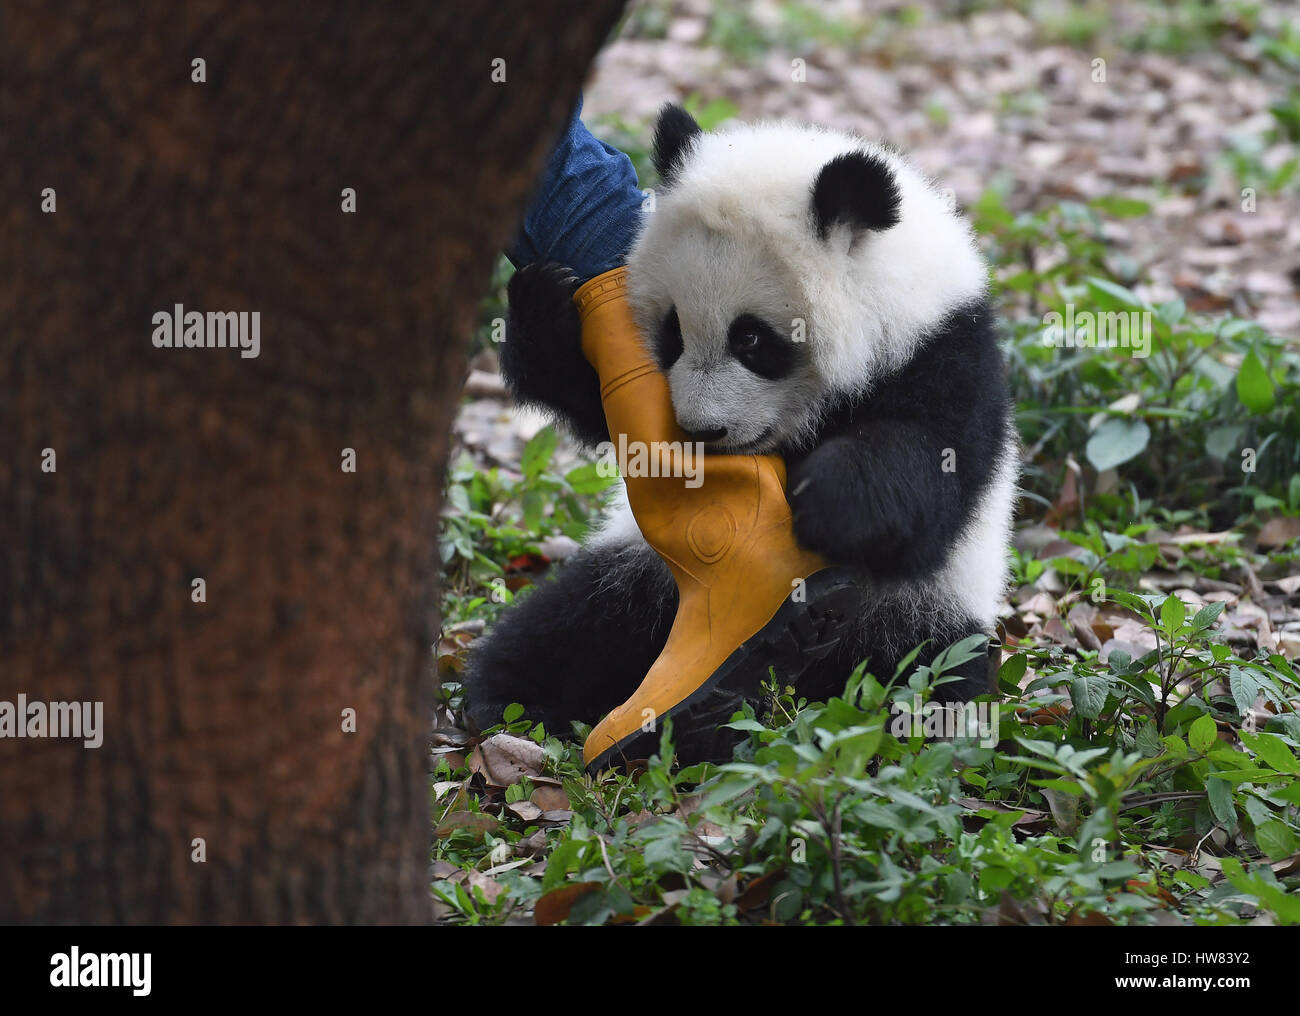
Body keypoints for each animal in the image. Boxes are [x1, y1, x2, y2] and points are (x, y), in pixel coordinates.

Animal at [464, 104, 1018, 742]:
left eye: (751, 339)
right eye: (673, 332)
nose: (701, 432)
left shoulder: (945, 351)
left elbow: (929, 466)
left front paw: (826, 499)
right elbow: (597, 404)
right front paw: (546, 302)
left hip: (916, 610)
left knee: (927, 675)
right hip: (645, 575)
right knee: (573, 628)